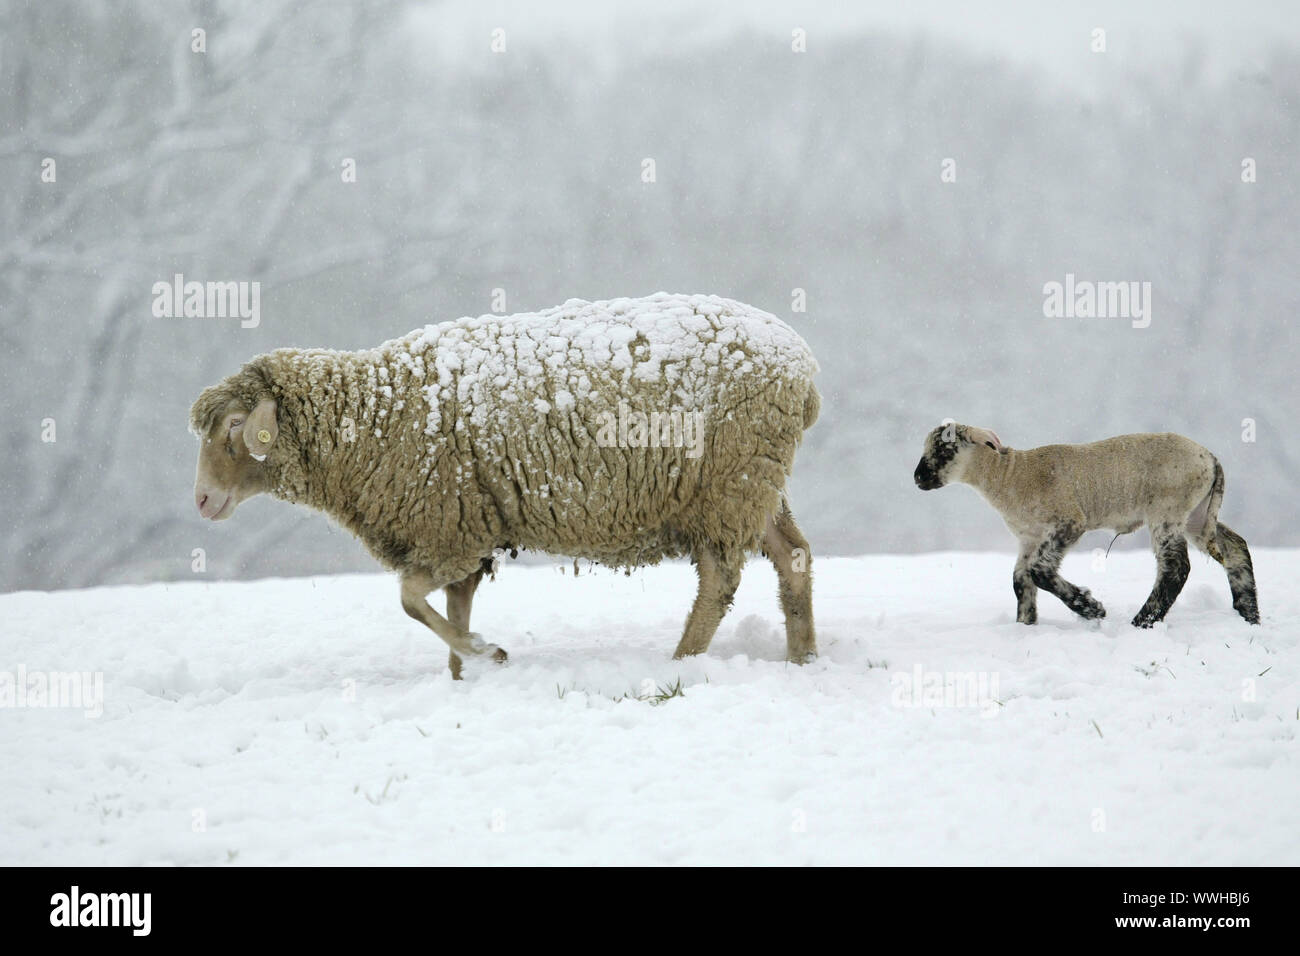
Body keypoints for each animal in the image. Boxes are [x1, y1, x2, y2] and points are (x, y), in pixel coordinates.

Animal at [190, 293, 821, 678]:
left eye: (235, 427)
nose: (201, 500)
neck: (372, 417)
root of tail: (803, 370)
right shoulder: (463, 530)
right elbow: (450, 609)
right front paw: (462, 676)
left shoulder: (448, 530)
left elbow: (410, 601)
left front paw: (487, 654)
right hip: (757, 481)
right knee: (793, 558)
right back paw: (803, 658)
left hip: (728, 482)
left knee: (719, 579)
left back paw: (682, 662)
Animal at [913, 423, 1260, 627]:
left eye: (945, 447)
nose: (917, 477)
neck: (1010, 475)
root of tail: (1211, 459)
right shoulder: (1029, 537)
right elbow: (1020, 580)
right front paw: (1026, 625)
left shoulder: (1068, 522)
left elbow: (1039, 572)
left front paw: (1091, 608)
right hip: (1197, 513)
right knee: (1235, 548)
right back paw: (1249, 615)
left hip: (1168, 509)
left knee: (1176, 568)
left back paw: (1143, 621)